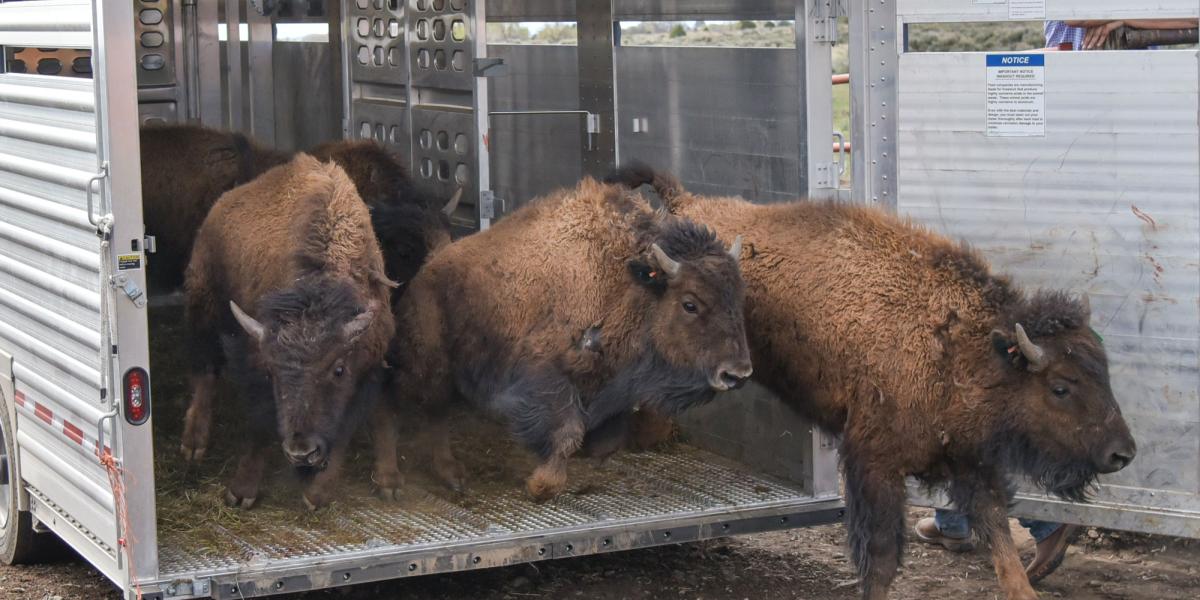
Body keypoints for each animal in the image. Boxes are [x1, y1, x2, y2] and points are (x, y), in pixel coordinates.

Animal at [387, 178, 752, 501]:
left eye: (738, 296)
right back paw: (448, 474)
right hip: (432, 366)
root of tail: (434, 262)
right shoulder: (548, 378)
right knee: (431, 412)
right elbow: (566, 432)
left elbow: (605, 441)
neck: (624, 282)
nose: (736, 373)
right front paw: (540, 486)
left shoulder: (614, 386)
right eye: (690, 303)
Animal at [608, 164, 1136, 600]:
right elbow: (881, 559)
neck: (961, 344)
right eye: (1061, 386)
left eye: (1103, 373)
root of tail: (685, 202)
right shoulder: (876, 465)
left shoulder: (971, 460)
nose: (1122, 453)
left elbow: (1001, 542)